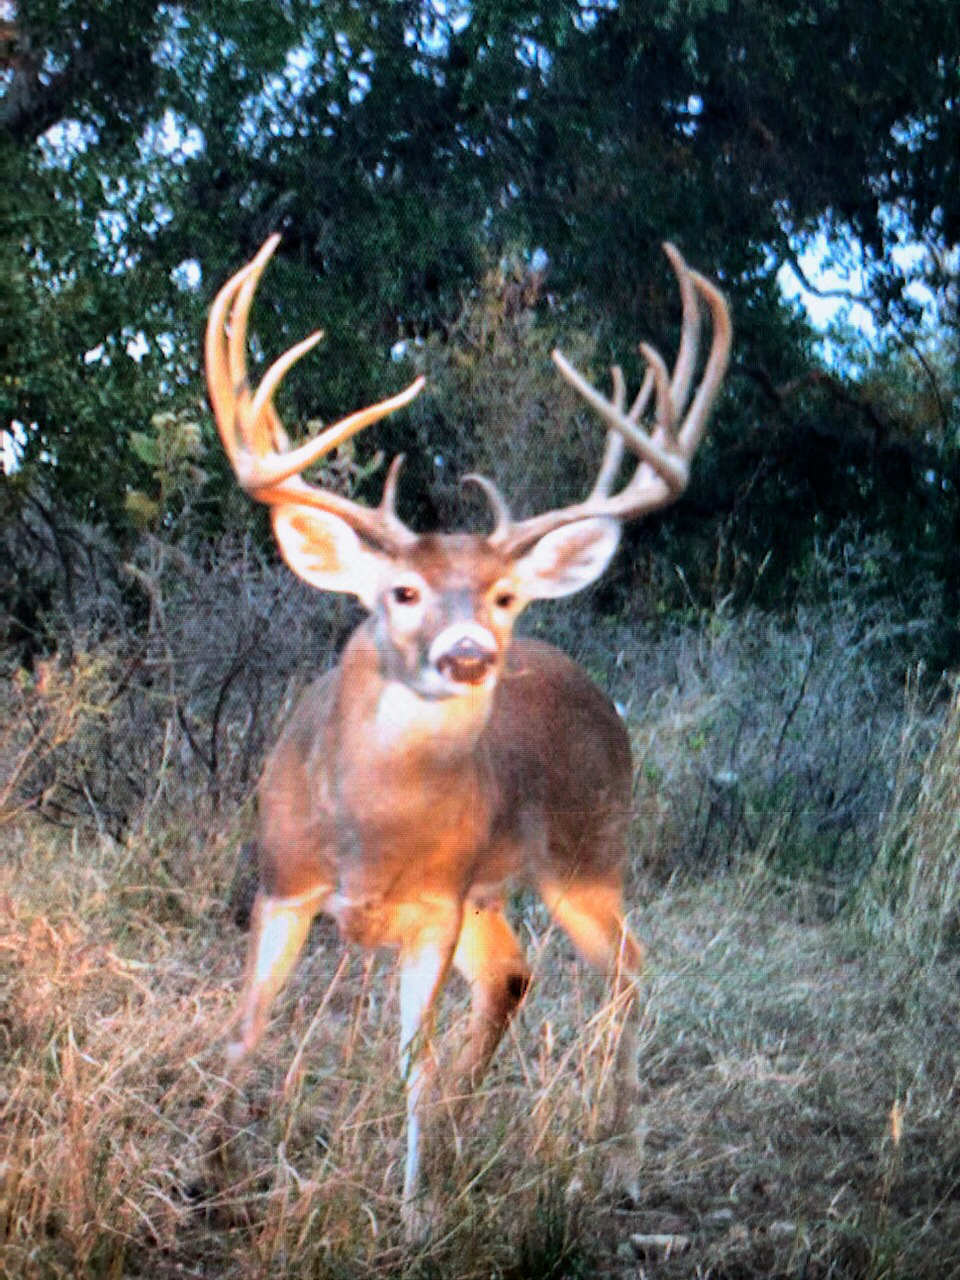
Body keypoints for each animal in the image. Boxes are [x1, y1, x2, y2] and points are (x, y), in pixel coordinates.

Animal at [205, 235, 731, 1236]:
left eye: (504, 594)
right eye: (402, 591)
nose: (469, 654)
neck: (369, 834)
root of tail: (596, 693)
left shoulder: (434, 908)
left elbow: (409, 1064)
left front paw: (414, 1216)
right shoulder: (280, 883)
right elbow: (245, 1030)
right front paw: (205, 1172)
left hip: (584, 858)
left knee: (626, 972)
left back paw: (614, 1162)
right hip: (497, 890)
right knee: (516, 975)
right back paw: (471, 1122)